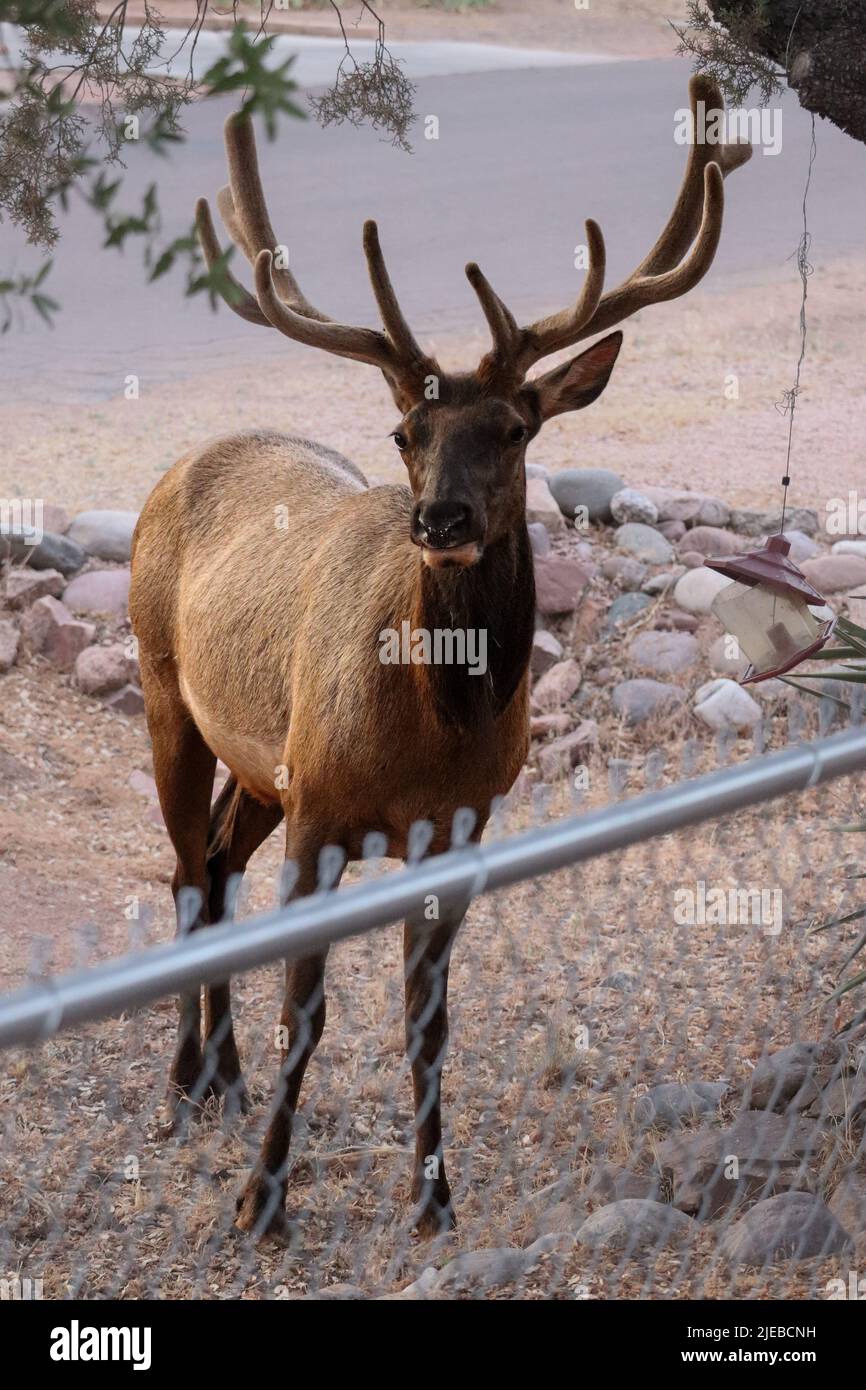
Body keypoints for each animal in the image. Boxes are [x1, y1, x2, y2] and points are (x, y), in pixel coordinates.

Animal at [128, 75, 751, 1239]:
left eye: (514, 427)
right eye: (402, 435)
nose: (440, 518)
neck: (426, 734)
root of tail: (185, 459)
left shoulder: (457, 828)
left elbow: (428, 1020)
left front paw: (434, 1200)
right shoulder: (323, 810)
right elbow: (307, 1011)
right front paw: (262, 1203)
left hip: (261, 760)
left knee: (219, 862)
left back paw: (220, 1080)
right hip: (163, 690)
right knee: (187, 873)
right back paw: (184, 1089)